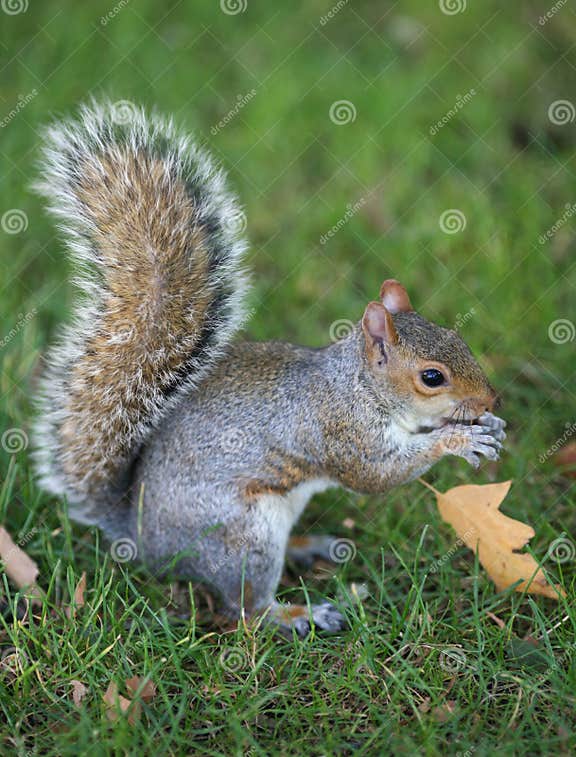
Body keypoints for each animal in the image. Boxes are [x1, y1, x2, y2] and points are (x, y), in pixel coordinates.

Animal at [33, 101, 506, 636]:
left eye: (457, 337)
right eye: (432, 377)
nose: (491, 399)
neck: (358, 387)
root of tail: (142, 537)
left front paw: (488, 426)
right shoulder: (340, 432)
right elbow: (377, 476)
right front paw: (459, 439)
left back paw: (306, 547)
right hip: (245, 537)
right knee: (246, 611)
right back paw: (299, 613)